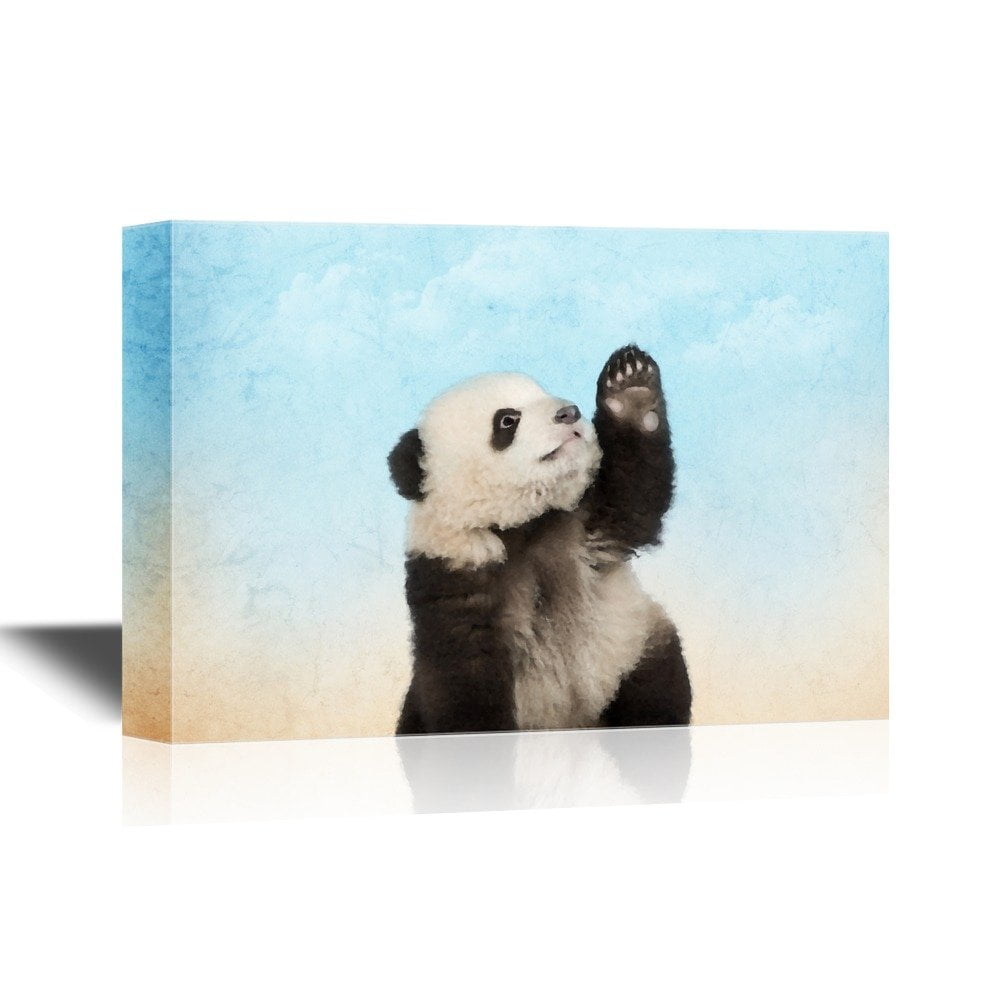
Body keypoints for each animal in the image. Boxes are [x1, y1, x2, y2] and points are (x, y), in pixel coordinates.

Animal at [387, 344, 692, 735]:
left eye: (541, 393)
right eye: (507, 420)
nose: (569, 412)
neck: (524, 523)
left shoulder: (584, 525)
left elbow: (633, 497)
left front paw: (631, 388)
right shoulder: (453, 573)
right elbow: (464, 680)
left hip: (633, 650)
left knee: (656, 693)